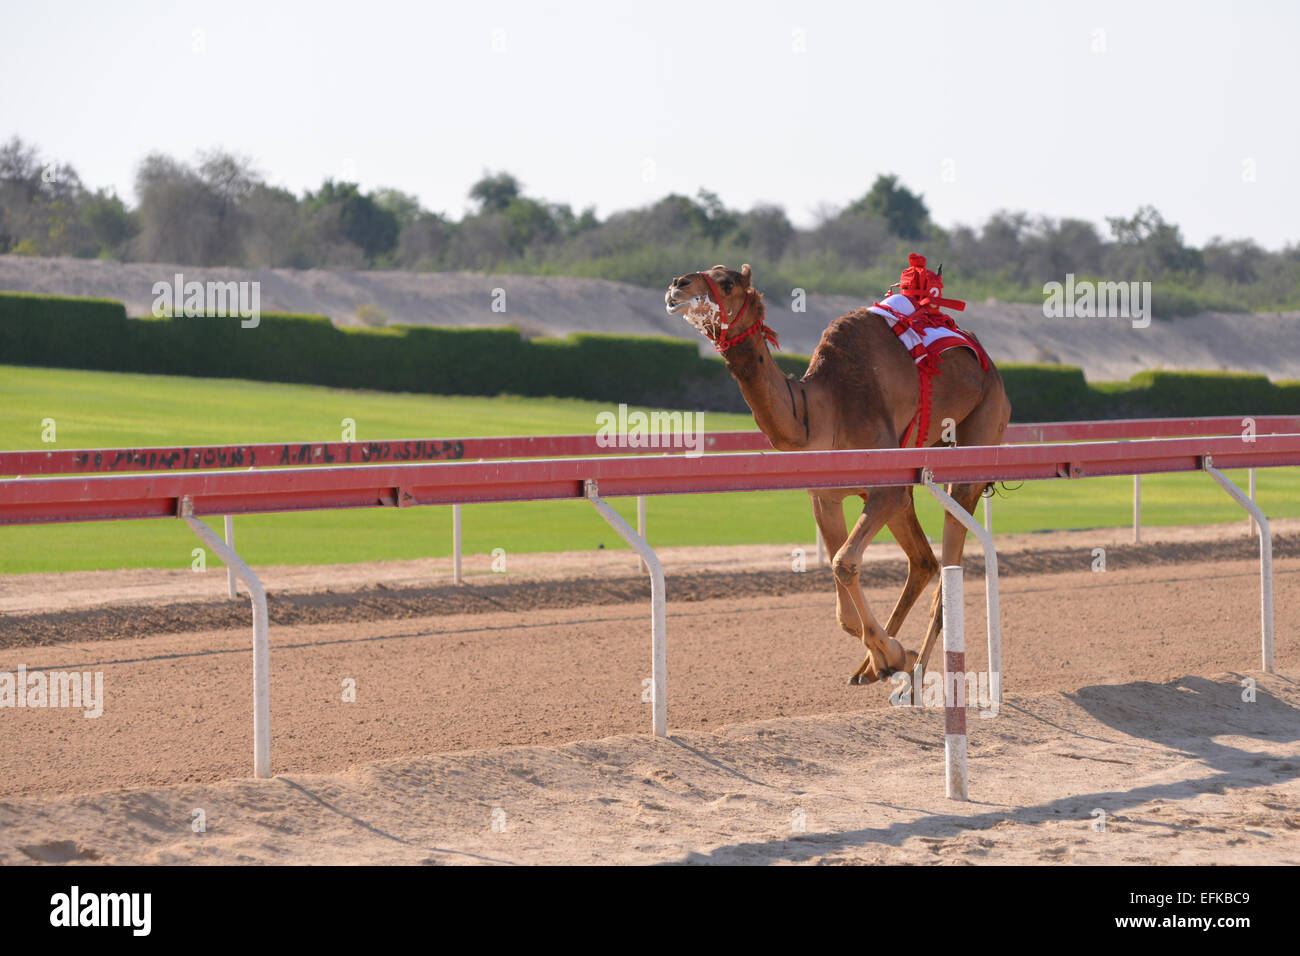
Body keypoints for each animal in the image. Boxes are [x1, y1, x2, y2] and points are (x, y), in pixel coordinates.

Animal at [665, 261, 1011, 686]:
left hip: (981, 432)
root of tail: (987, 362)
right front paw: (886, 658)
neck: (820, 410)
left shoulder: (886, 485)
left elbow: (844, 563)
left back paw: (915, 673)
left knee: (946, 568)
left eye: (727, 282)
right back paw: (874, 668)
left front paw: (897, 655)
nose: (677, 285)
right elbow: (843, 604)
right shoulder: (825, 496)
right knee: (924, 561)